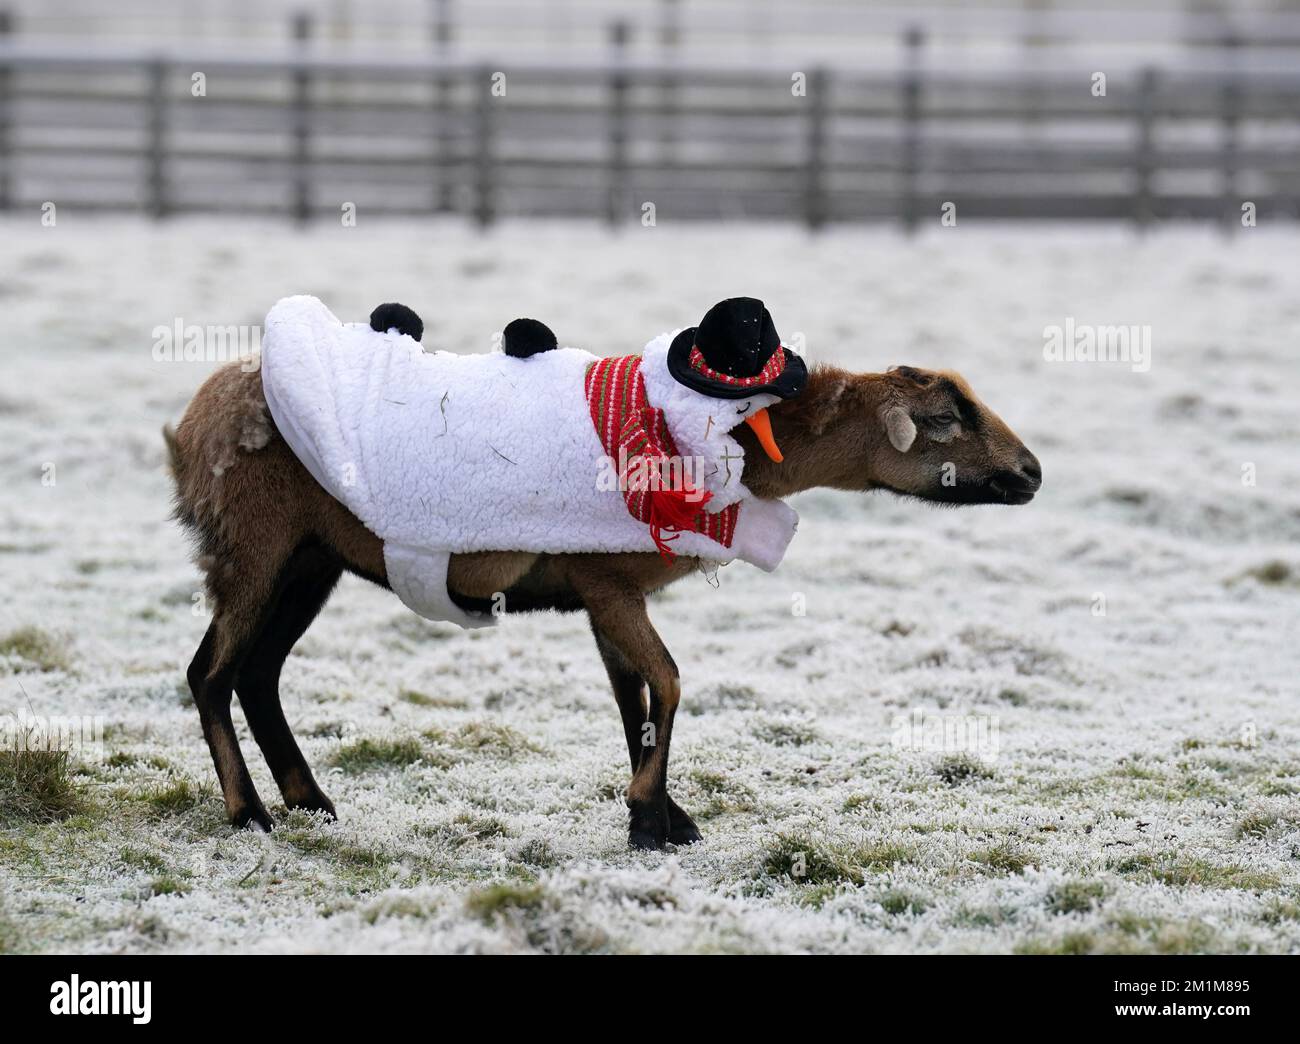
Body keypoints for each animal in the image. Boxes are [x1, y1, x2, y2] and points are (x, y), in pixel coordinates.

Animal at [164, 360, 1041, 849]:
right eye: (944, 418)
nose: (1032, 473)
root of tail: (191, 422)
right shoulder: (608, 586)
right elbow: (672, 683)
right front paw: (649, 820)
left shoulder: (601, 596)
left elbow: (636, 702)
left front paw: (667, 818)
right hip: (254, 546)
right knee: (211, 673)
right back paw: (249, 814)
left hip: (309, 559)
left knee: (258, 675)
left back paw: (310, 802)